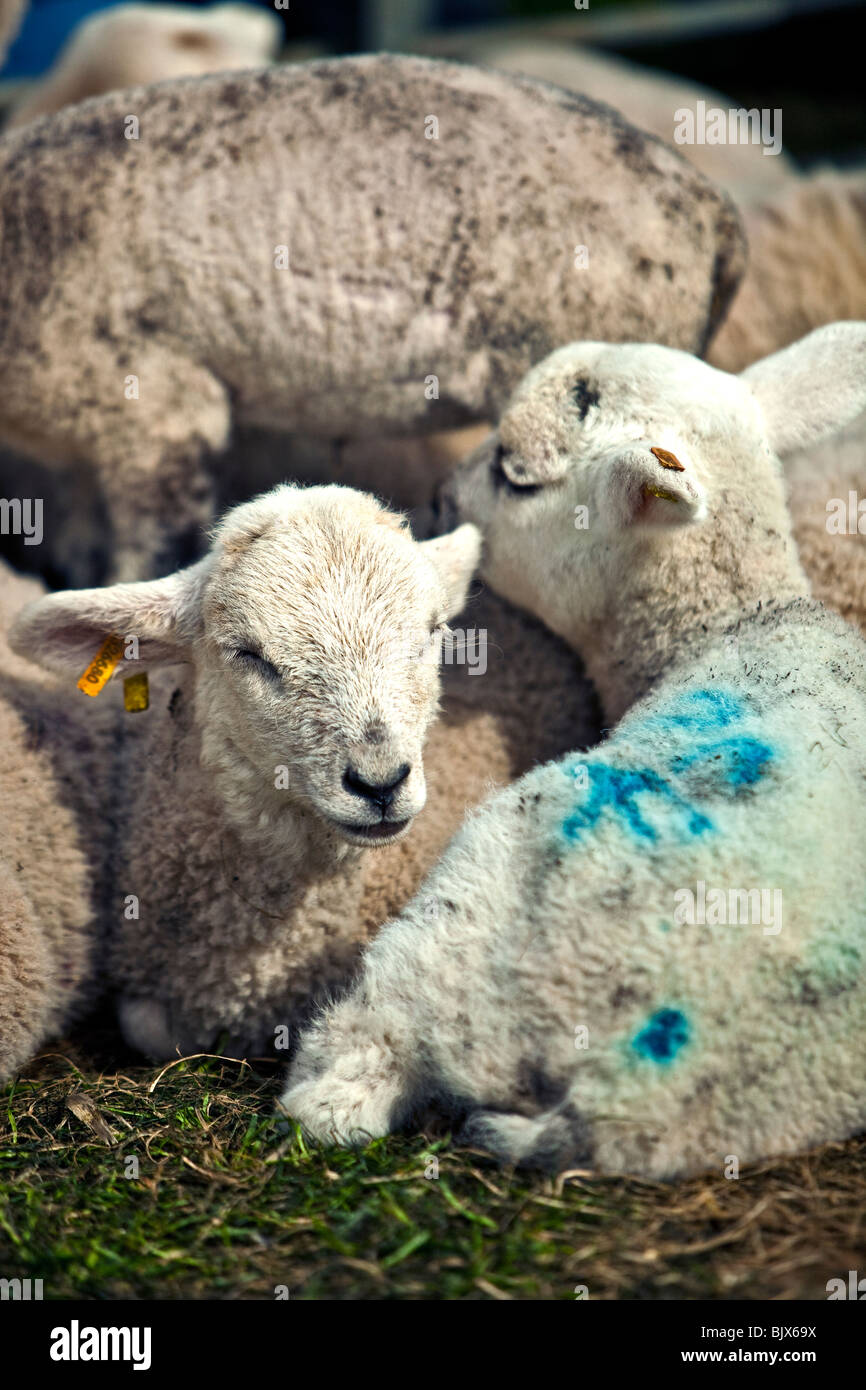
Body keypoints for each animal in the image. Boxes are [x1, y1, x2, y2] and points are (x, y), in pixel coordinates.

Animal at [280, 323, 866, 1179]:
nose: (440, 496)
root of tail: (615, 1096)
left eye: (515, 474)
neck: (732, 620)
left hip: (459, 916)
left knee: (350, 1079)